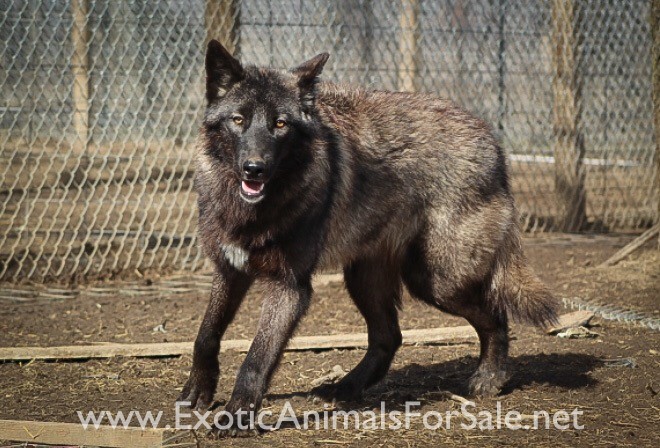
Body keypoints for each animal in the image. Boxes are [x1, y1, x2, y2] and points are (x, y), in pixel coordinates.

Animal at [179, 39, 558, 435]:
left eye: (280, 124)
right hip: (364, 279)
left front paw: (236, 416)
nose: (255, 168)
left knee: (496, 314)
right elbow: (206, 335)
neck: (253, 212)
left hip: (436, 282)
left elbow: (257, 358)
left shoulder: (290, 287)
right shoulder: (229, 270)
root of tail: (494, 143)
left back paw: (490, 377)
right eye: (238, 120)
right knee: (390, 336)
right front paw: (198, 391)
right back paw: (347, 387)